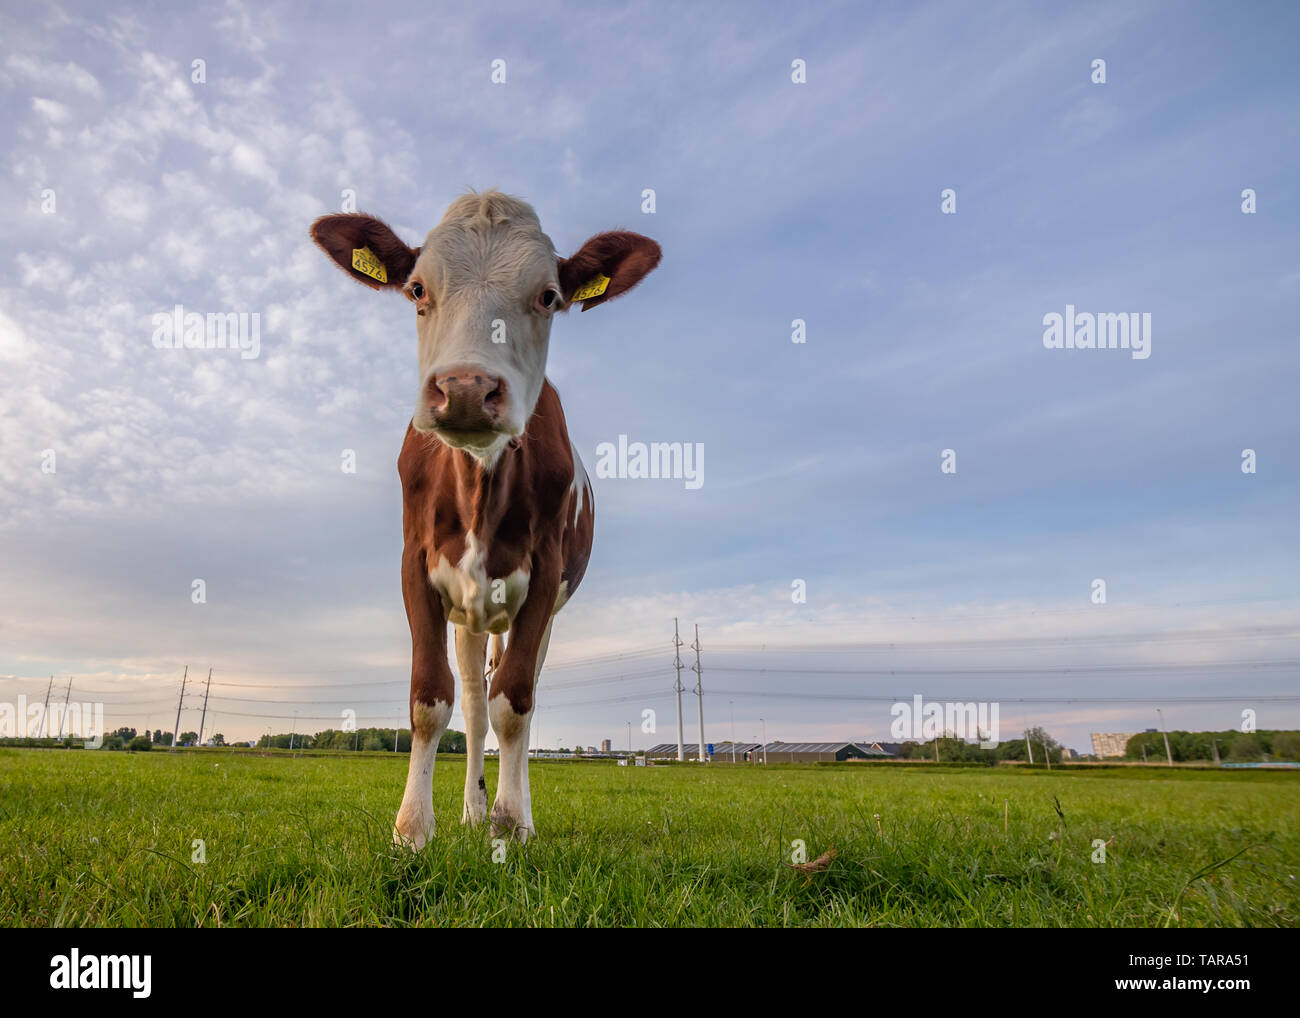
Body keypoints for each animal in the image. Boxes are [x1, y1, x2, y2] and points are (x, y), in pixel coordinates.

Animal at [310, 191, 661, 847]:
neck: (479, 480)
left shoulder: (544, 576)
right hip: (468, 617)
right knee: (473, 703)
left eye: (548, 296)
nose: (467, 388)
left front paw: (509, 823)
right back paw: (471, 809)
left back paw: (506, 810)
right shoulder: (416, 566)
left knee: (514, 696)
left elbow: (515, 702)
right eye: (417, 289)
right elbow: (431, 699)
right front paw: (414, 829)